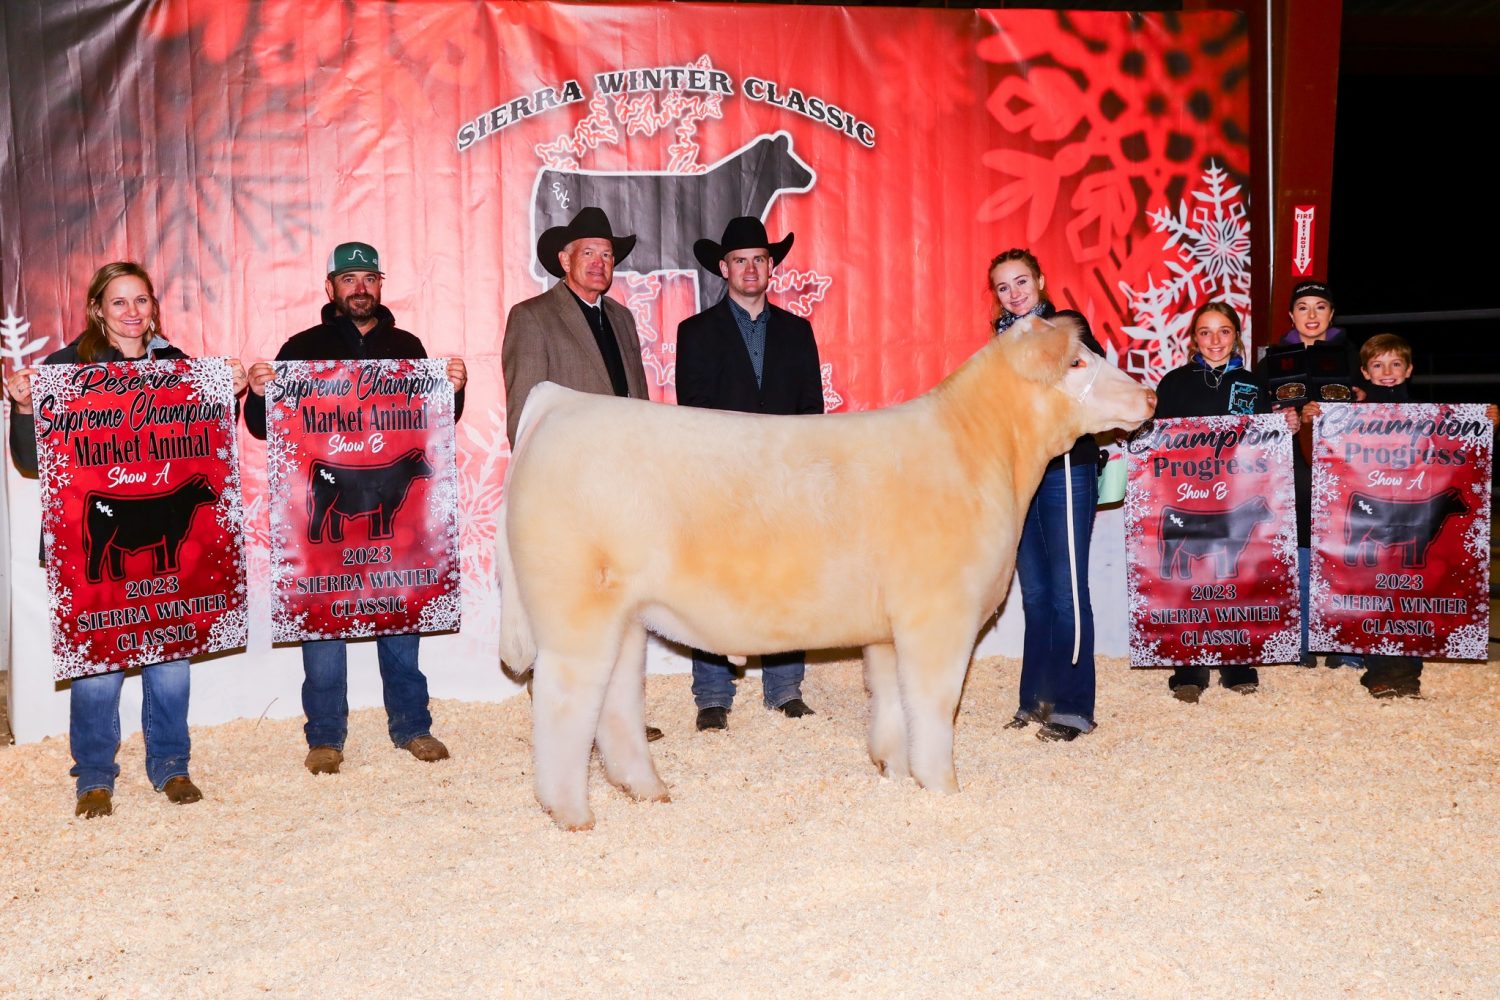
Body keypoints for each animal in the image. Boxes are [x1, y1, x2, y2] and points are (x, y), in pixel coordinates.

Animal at [83, 474, 217, 583]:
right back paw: (95, 579)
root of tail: (96, 497)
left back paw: (118, 577)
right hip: (100, 539)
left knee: (113, 558)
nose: (217, 495)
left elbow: (160, 555)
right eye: (206, 487)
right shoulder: (172, 536)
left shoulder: (159, 539)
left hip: (112, 542)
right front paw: (173, 568)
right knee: (95, 557)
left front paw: (161, 571)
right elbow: (171, 552)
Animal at [497, 316, 1156, 829]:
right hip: (577, 615)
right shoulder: (938, 617)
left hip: (625, 617)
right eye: (1078, 360)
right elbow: (934, 704)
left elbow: (892, 702)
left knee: (613, 702)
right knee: (562, 702)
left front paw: (895, 770)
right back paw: (571, 812)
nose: (1149, 398)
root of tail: (562, 401)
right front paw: (943, 786)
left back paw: (646, 790)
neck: (983, 457)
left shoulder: (891, 630)